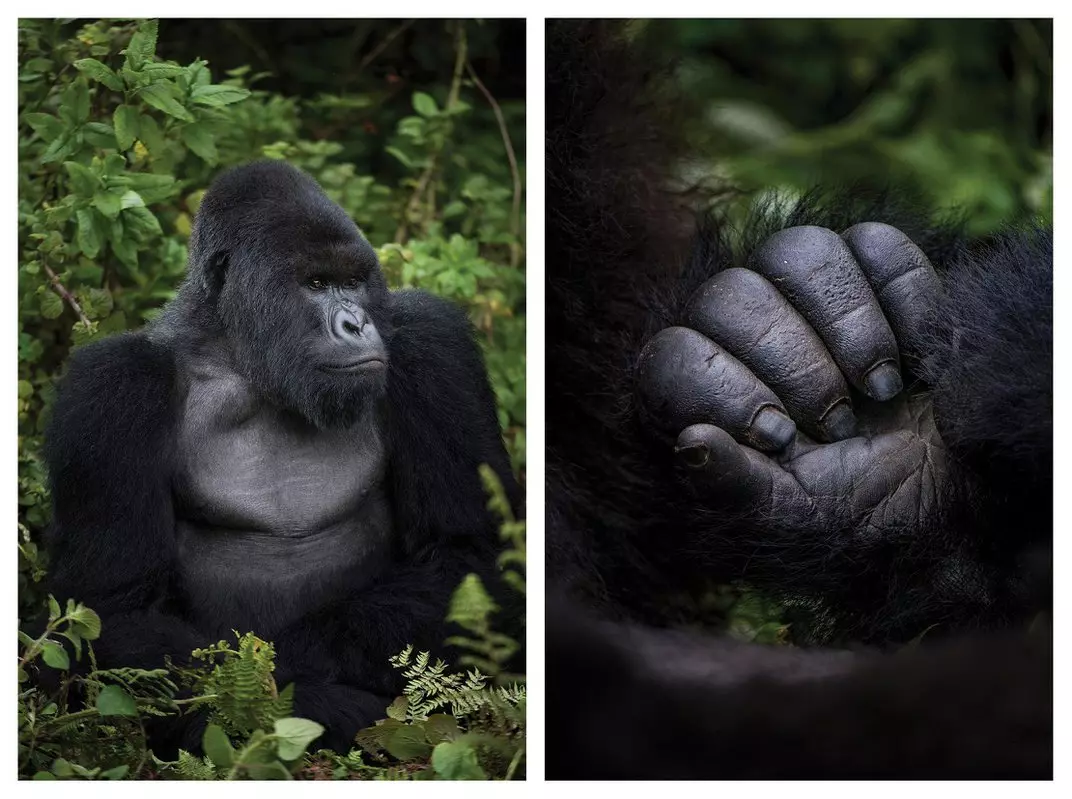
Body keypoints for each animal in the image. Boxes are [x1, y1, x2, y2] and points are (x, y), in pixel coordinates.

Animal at [43, 158, 520, 750]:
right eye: (315, 284)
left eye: (353, 282)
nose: (356, 324)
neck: (244, 359)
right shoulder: (109, 389)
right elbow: (113, 612)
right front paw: (309, 700)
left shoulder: (430, 343)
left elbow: (470, 553)